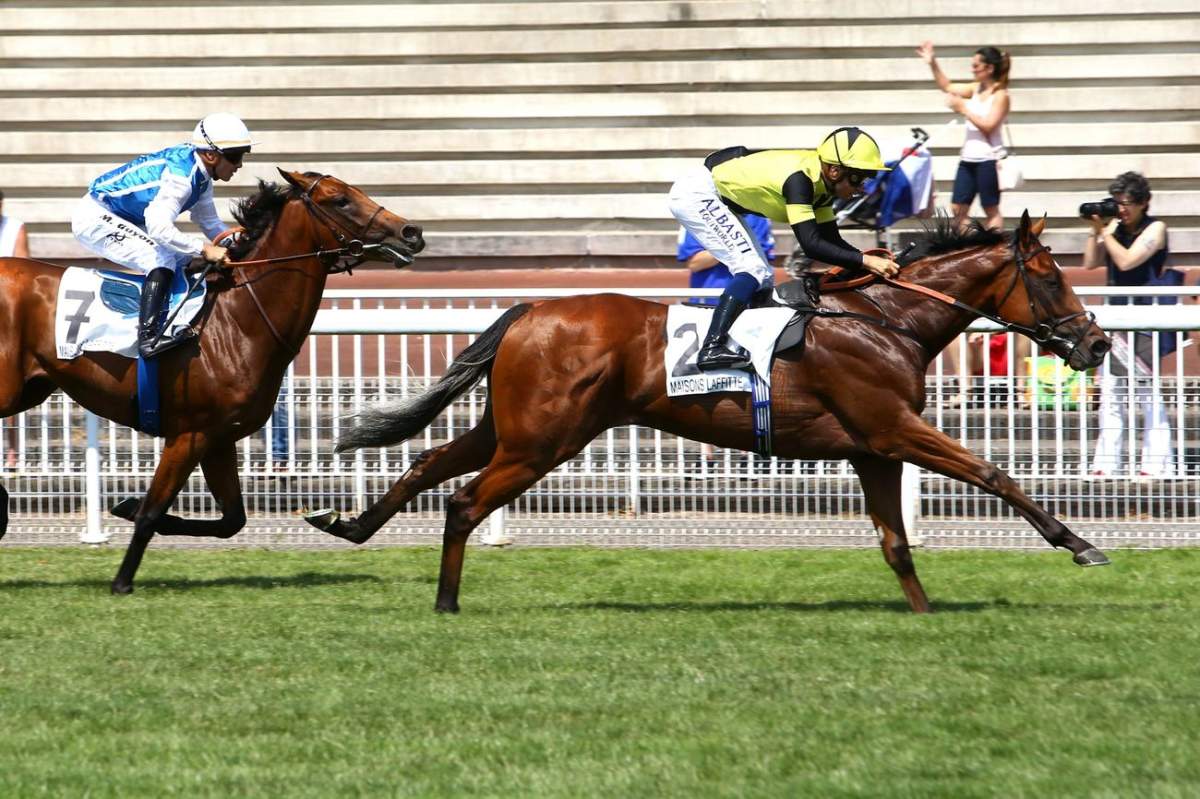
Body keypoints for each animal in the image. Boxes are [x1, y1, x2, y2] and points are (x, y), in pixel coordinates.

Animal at [0, 169, 424, 593]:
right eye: (340, 201)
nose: (412, 231)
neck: (236, 321)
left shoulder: (219, 438)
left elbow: (231, 520)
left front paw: (127, 506)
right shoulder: (189, 435)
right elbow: (152, 513)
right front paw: (122, 580)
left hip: (28, 391)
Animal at [308, 211, 1112, 613]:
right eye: (1050, 276)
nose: (1097, 342)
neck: (887, 319)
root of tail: (532, 307)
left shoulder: (872, 449)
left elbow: (896, 544)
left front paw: (923, 614)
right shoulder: (893, 428)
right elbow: (992, 472)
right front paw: (1078, 544)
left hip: (513, 428)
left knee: (427, 464)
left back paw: (350, 525)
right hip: (543, 441)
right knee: (465, 501)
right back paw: (446, 602)